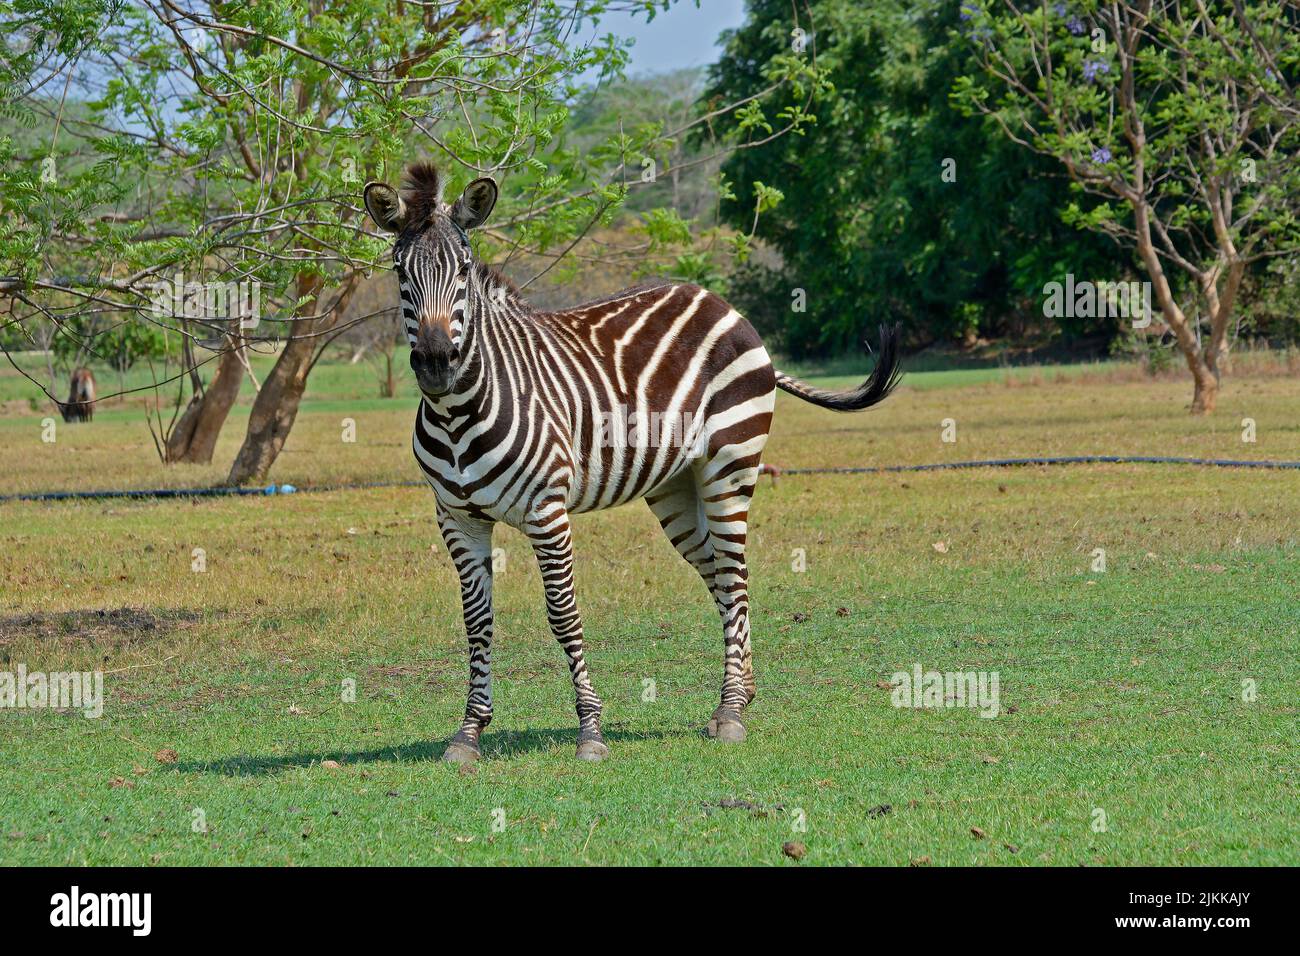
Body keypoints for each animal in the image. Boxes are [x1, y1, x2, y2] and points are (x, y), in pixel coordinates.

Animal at [363, 162, 901, 762]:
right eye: (399, 271)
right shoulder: (457, 518)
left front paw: (590, 730)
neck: (458, 413)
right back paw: (743, 691)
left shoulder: (547, 512)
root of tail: (718, 301)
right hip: (675, 489)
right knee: (719, 575)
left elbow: (563, 614)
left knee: (735, 574)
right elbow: (477, 622)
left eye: (461, 272)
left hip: (729, 467)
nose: (436, 364)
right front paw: (469, 733)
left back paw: (731, 711)